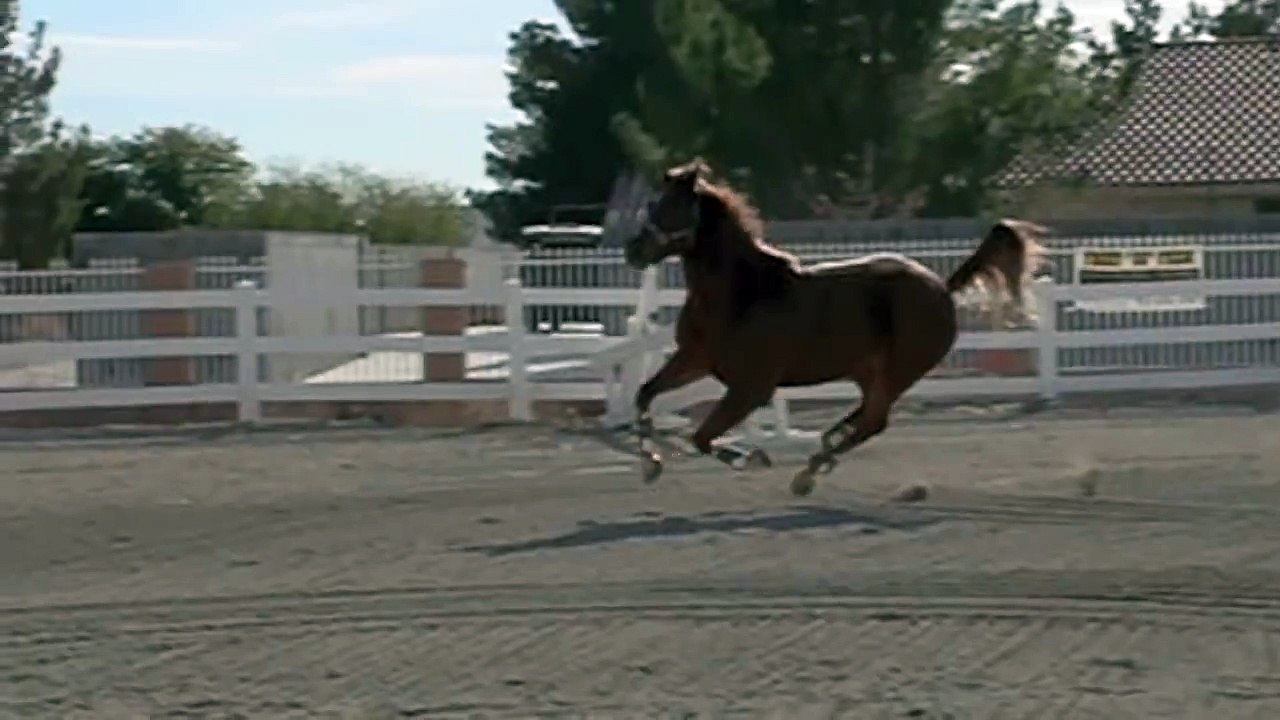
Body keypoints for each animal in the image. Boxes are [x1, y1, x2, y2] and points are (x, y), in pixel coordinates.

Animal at [622, 158, 1046, 497]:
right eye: (653, 203)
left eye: (673, 206)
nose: (633, 250)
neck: (743, 292)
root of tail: (941, 286)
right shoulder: (694, 360)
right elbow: (645, 395)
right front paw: (651, 464)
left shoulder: (751, 387)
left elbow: (702, 435)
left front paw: (752, 458)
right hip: (871, 372)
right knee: (867, 417)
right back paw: (824, 448)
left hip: (900, 370)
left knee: (873, 420)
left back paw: (809, 472)